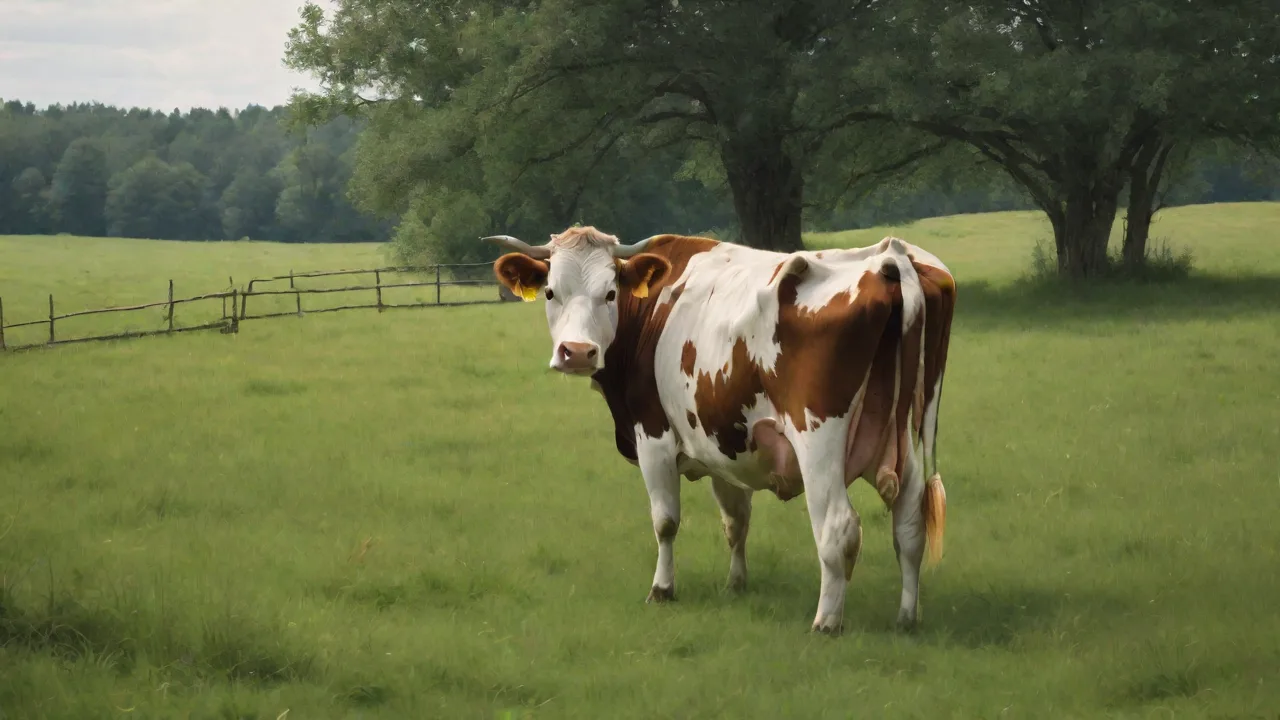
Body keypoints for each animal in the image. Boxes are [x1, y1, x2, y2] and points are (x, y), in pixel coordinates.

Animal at [484, 225, 956, 634]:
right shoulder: (722, 445)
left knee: (838, 527)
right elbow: (736, 519)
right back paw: (906, 617)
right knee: (909, 525)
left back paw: (826, 621)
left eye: (610, 292)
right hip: (903, 435)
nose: (578, 352)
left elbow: (665, 521)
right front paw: (736, 583)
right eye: (551, 292)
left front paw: (662, 589)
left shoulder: (653, 435)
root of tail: (891, 257)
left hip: (819, 441)